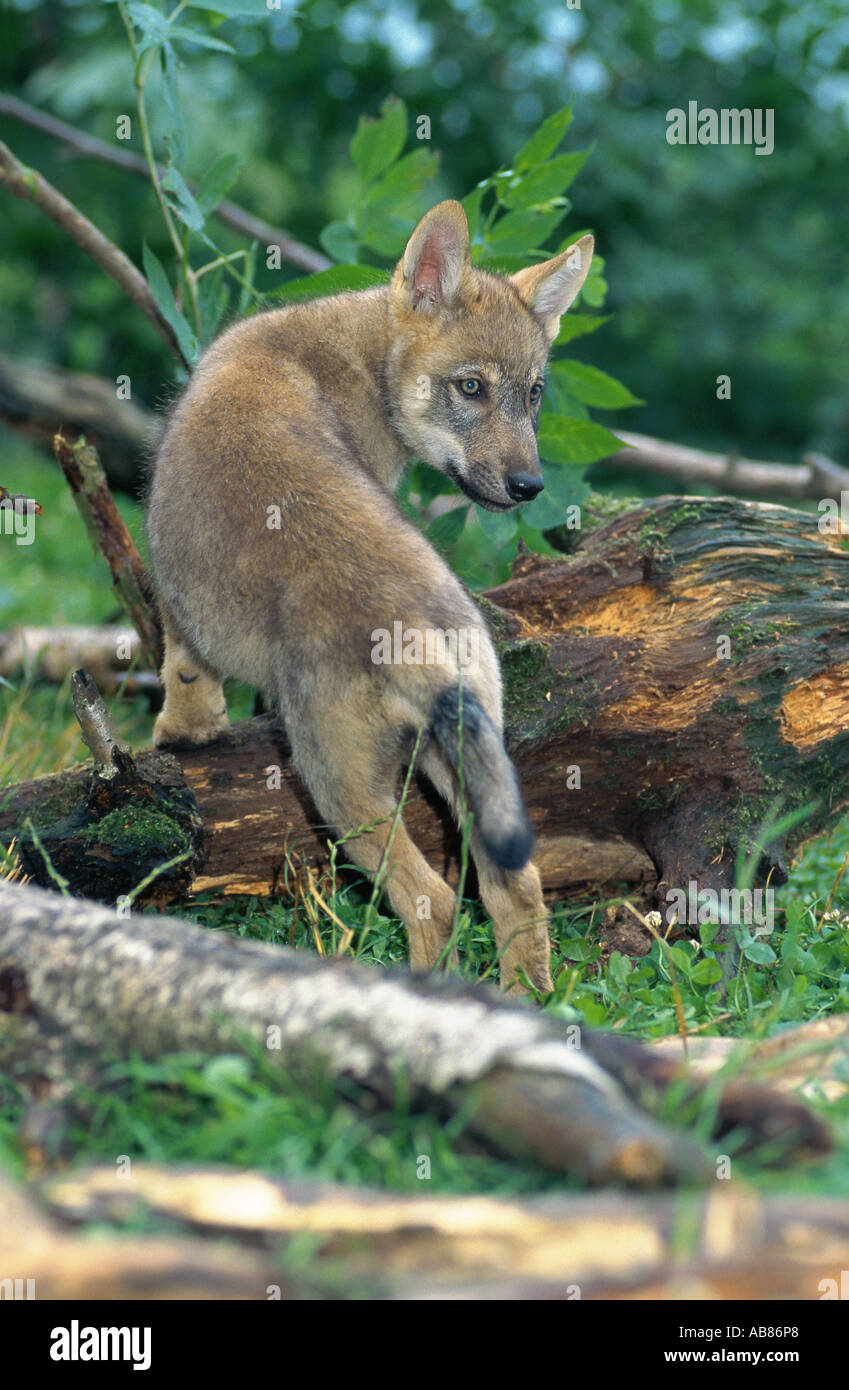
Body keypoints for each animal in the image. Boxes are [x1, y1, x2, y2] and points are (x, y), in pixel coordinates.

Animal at [147, 201, 593, 992]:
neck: (356, 355)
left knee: (434, 903)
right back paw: (524, 1003)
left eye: (533, 393)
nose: (529, 487)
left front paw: (180, 734)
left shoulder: (175, 596)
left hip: (340, 793)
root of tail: (419, 635)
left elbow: (184, 671)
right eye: (472, 388)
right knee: (516, 889)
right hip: (466, 773)